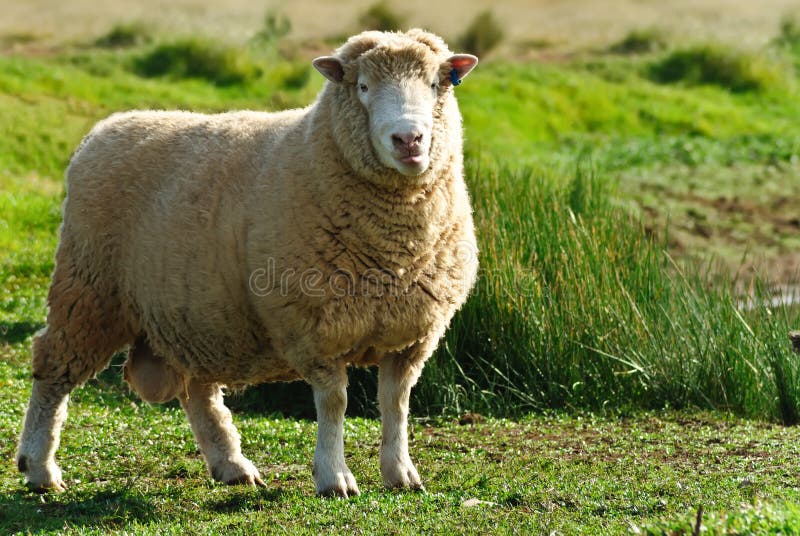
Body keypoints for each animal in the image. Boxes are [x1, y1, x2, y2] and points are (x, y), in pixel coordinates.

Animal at [16, 29, 479, 498]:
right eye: (363, 86)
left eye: (436, 85)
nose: (409, 140)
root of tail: (103, 130)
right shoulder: (312, 326)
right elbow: (334, 402)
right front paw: (334, 477)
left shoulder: (412, 335)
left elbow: (396, 403)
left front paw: (401, 472)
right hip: (88, 292)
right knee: (52, 368)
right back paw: (39, 467)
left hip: (195, 317)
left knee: (198, 392)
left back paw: (232, 464)